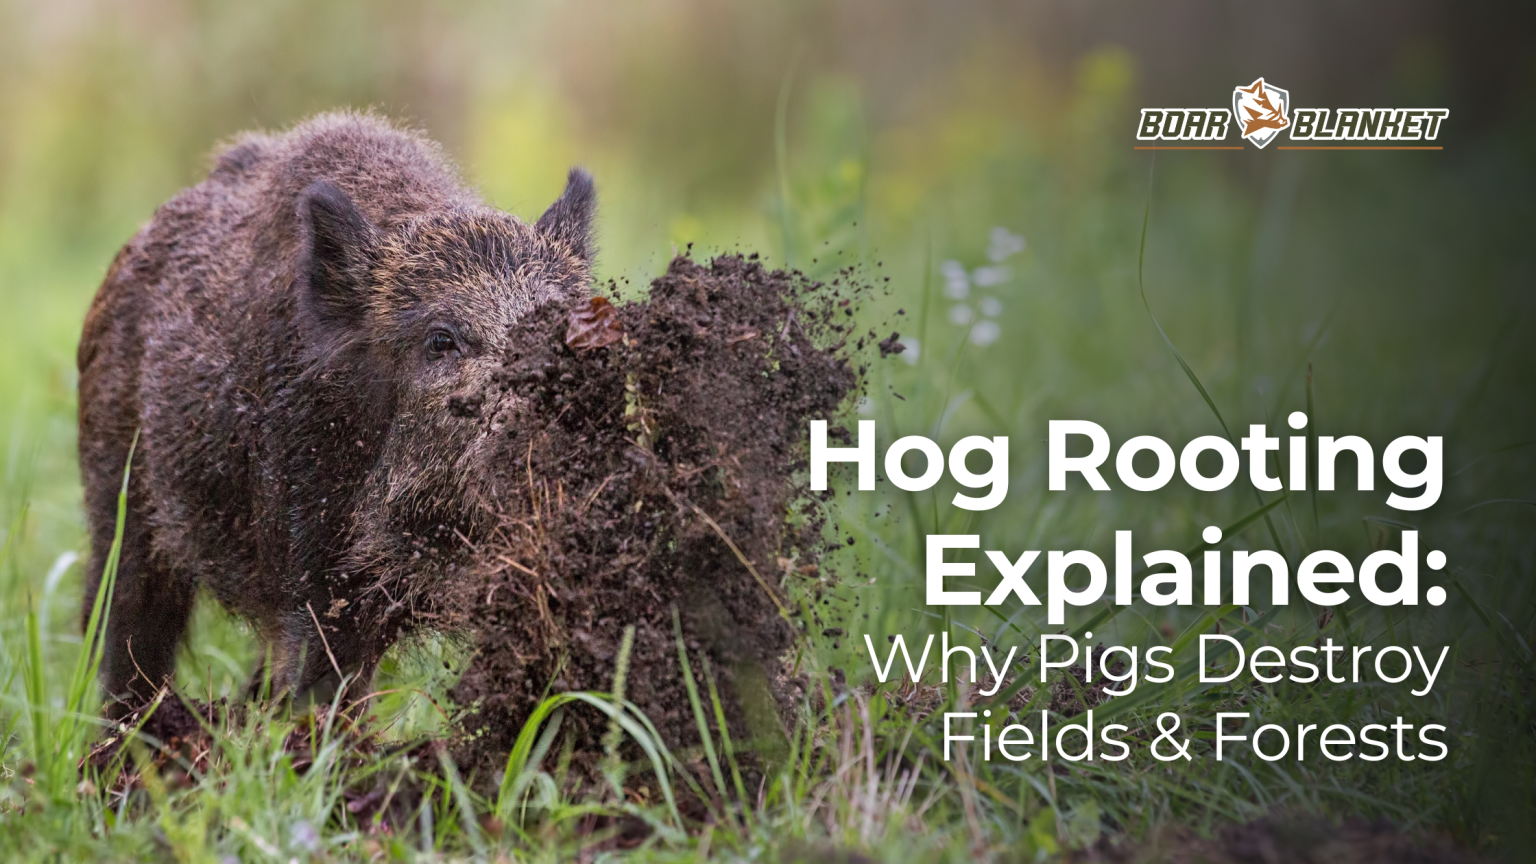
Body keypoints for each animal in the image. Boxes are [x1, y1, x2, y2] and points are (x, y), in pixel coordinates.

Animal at [77, 111, 595, 711]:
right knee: (125, 617)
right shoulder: (308, 547)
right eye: (440, 340)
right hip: (117, 484)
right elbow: (320, 679)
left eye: (564, 325)